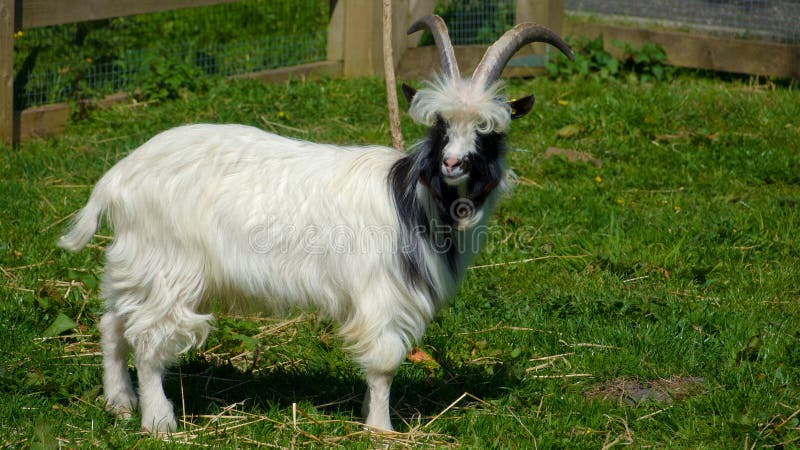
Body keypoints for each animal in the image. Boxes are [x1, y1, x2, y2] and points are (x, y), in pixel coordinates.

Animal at [58, 15, 573, 433]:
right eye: (439, 125)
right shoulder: (381, 293)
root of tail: (118, 177)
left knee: (113, 323)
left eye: (489, 131)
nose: (451, 163)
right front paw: (381, 429)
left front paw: (369, 415)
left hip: (140, 262)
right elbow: (384, 362)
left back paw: (120, 403)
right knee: (148, 339)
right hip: (170, 266)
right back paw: (159, 422)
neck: (416, 197)